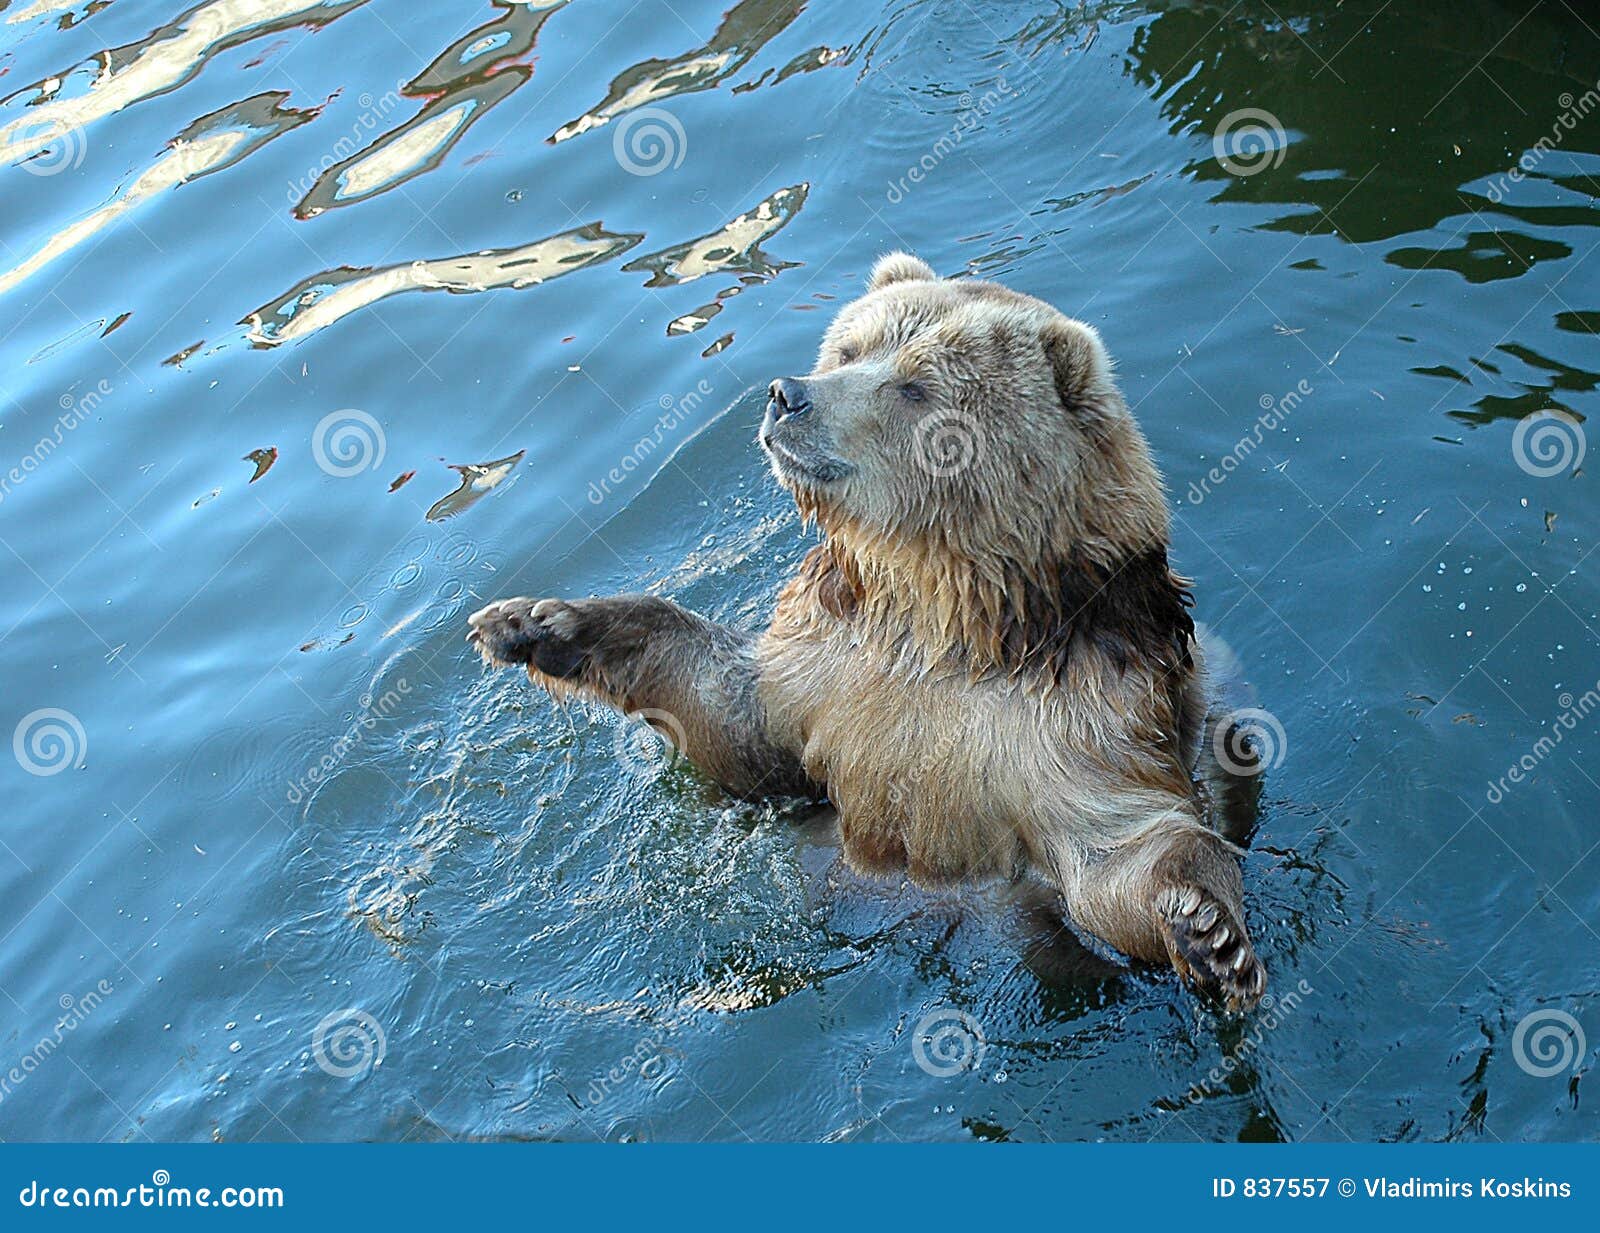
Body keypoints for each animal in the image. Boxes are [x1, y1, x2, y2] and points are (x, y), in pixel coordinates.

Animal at [468, 252, 1266, 1011]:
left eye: (915, 386)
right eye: (850, 348)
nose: (788, 393)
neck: (946, 614)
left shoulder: (1077, 713)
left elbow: (1116, 849)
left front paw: (1209, 928)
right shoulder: (830, 662)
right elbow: (733, 720)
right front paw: (531, 621)